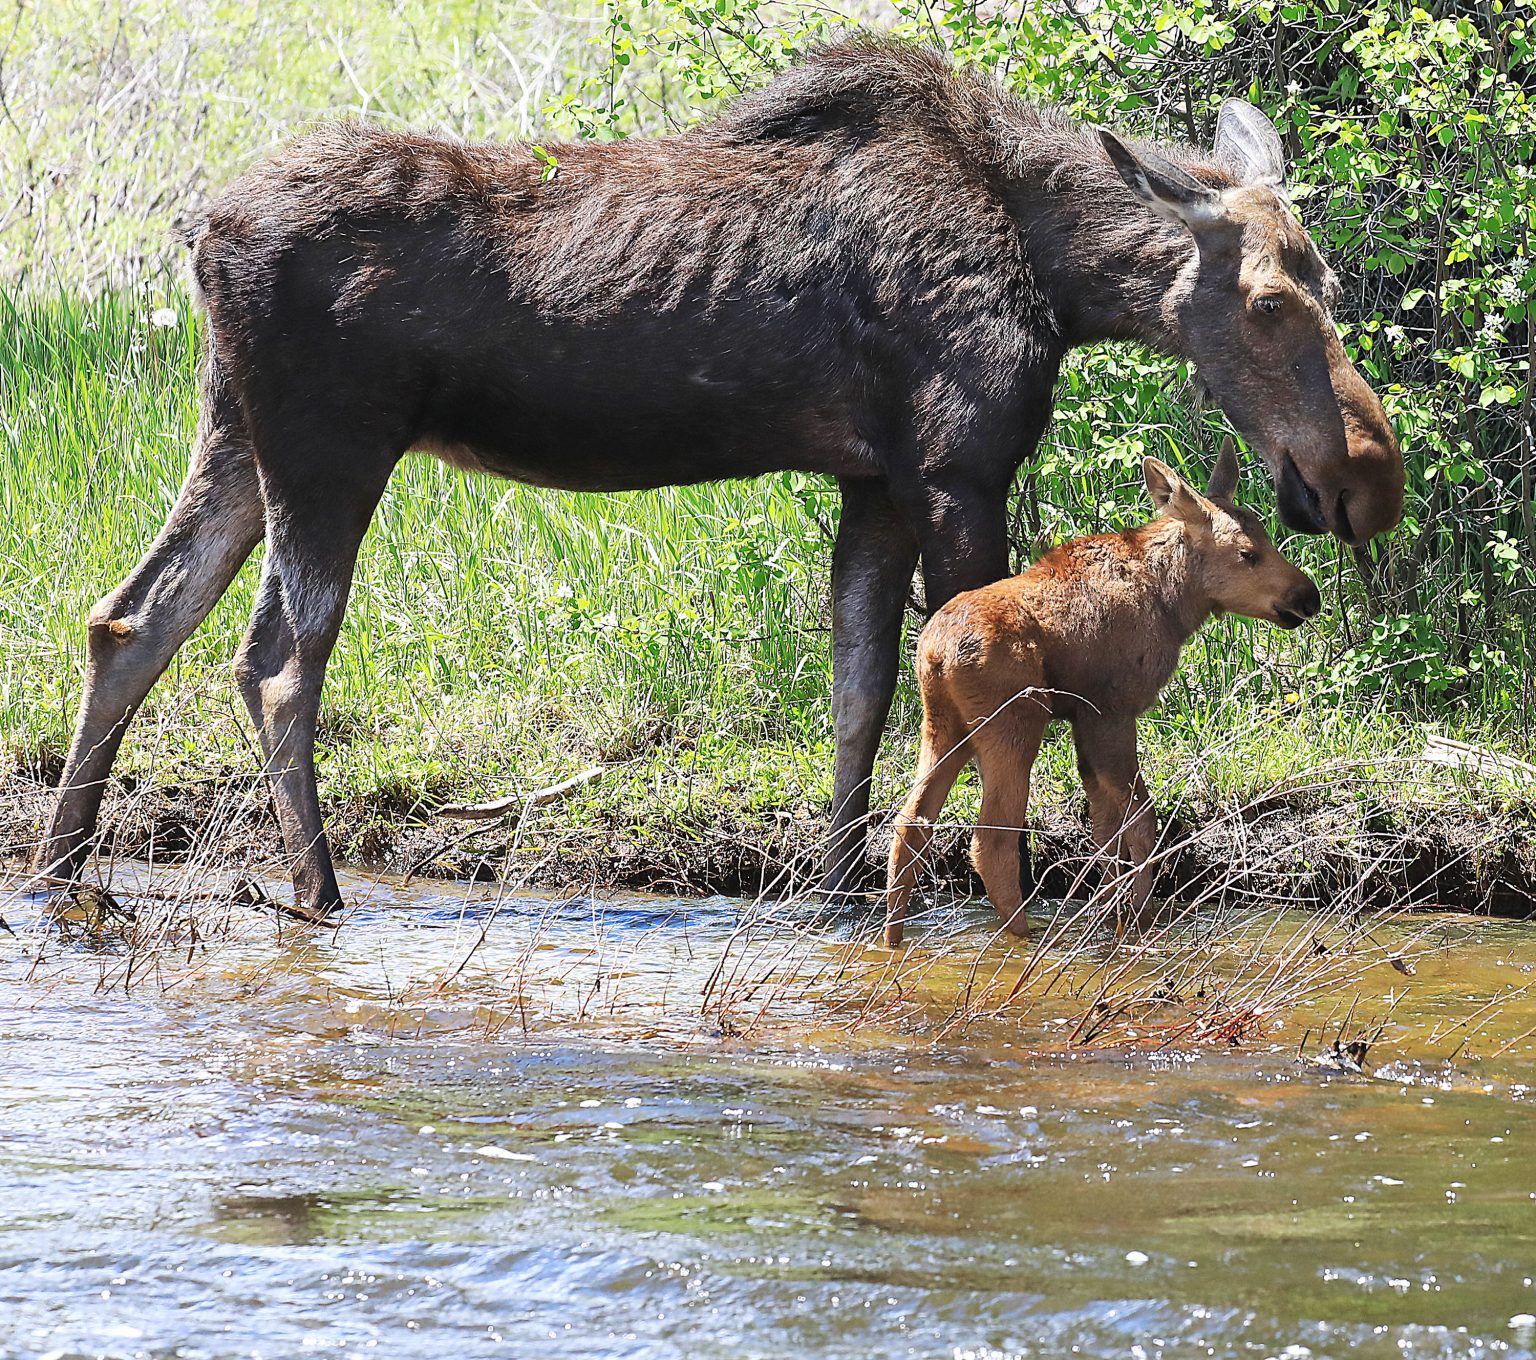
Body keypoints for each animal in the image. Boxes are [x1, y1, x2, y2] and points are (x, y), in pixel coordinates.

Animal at [884, 440, 1320, 947]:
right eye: (1249, 554)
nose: (1308, 597)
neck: (1174, 606)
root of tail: (933, 653)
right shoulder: (1111, 710)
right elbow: (1141, 821)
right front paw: (1138, 920)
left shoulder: (1084, 721)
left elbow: (1105, 830)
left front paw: (1108, 915)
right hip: (1014, 720)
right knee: (992, 839)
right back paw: (1025, 939)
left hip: (943, 725)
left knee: (910, 823)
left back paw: (891, 939)